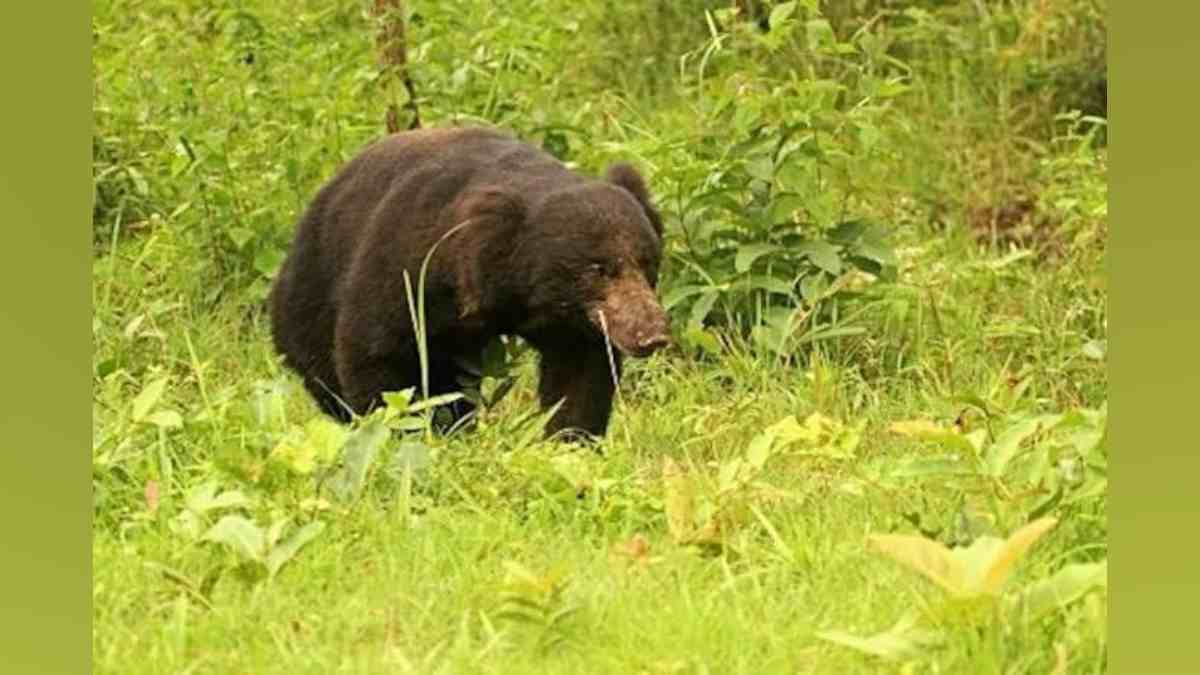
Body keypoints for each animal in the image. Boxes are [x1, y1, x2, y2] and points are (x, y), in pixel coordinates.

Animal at [268, 126, 670, 440]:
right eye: (599, 268)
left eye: (647, 262)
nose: (651, 334)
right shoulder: (407, 269)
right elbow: (379, 352)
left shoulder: (573, 325)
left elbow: (580, 376)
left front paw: (571, 440)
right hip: (313, 286)